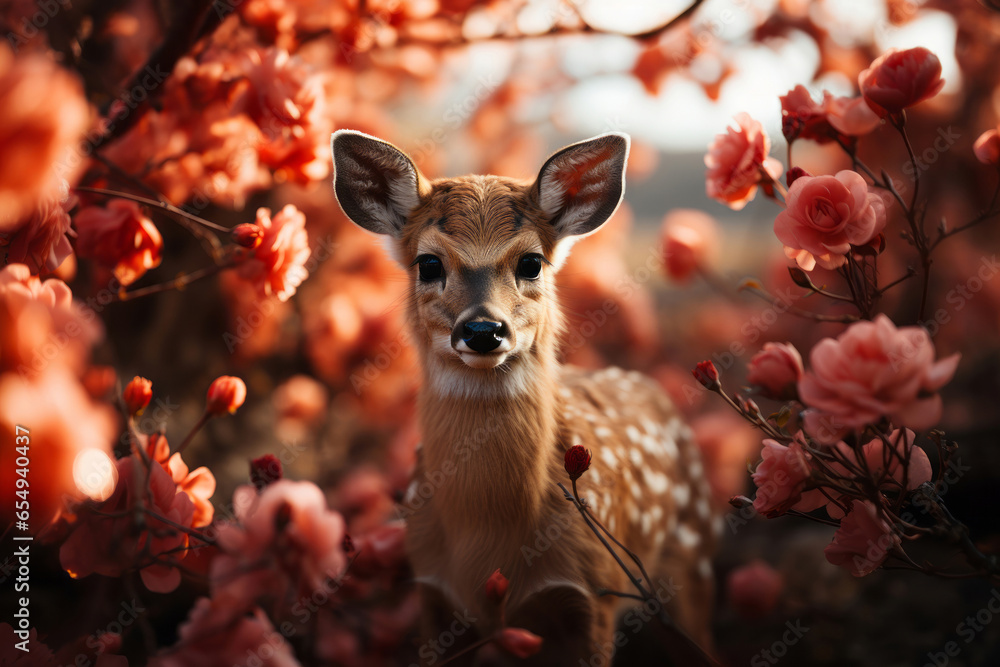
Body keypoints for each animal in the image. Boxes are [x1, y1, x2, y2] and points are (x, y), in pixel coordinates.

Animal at [331, 130, 719, 666]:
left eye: (531, 262)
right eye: (428, 263)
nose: (483, 330)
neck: (487, 538)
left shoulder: (595, 591)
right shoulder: (432, 592)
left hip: (693, 556)